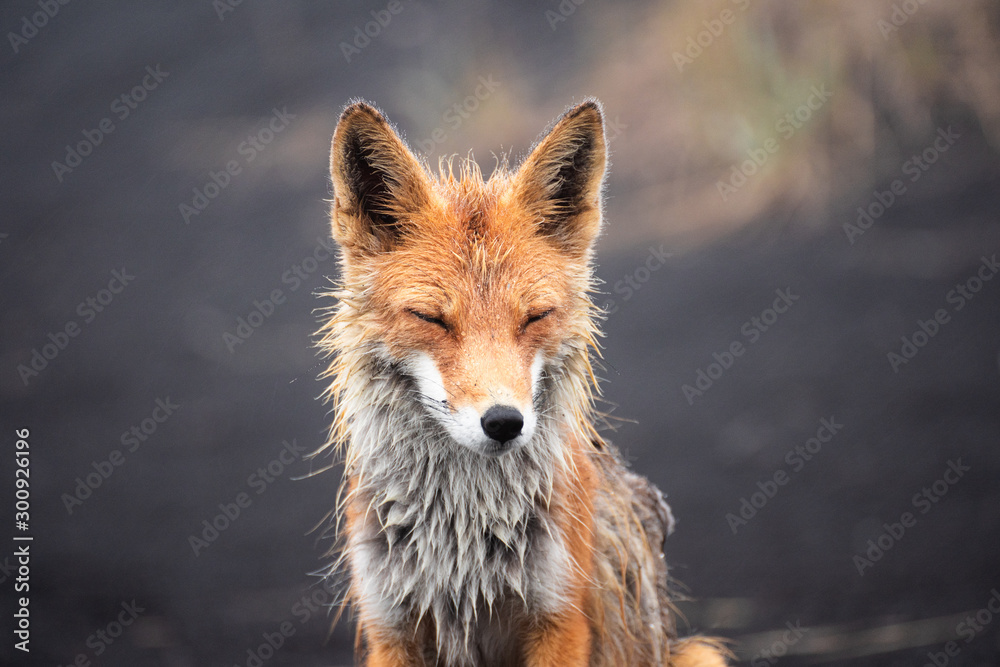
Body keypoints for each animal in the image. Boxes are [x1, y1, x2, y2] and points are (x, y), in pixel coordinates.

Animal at [317, 98, 730, 667]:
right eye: (431, 319)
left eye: (534, 317)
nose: (503, 422)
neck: (463, 538)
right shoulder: (391, 627)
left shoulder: (559, 618)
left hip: (699, 653)